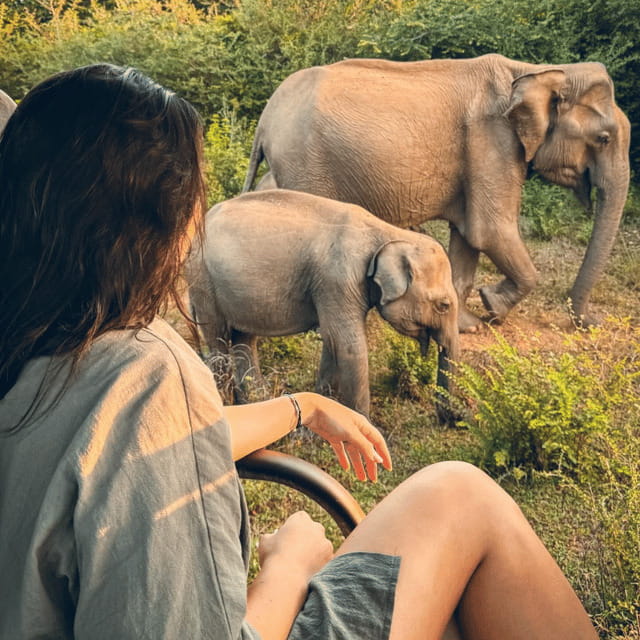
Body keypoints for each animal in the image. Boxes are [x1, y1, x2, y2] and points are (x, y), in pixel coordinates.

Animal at [185, 189, 459, 424]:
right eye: (443, 305)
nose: (453, 419)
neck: (388, 233)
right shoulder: (336, 281)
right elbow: (348, 347)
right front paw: (364, 429)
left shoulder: (335, 289)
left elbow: (332, 343)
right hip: (203, 281)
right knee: (218, 338)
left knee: (244, 339)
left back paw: (256, 403)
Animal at [242, 54, 631, 330]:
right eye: (603, 138)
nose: (593, 323)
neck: (536, 72)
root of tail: (266, 118)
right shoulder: (492, 141)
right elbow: (490, 230)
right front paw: (492, 306)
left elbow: (468, 235)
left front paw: (469, 325)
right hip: (305, 162)